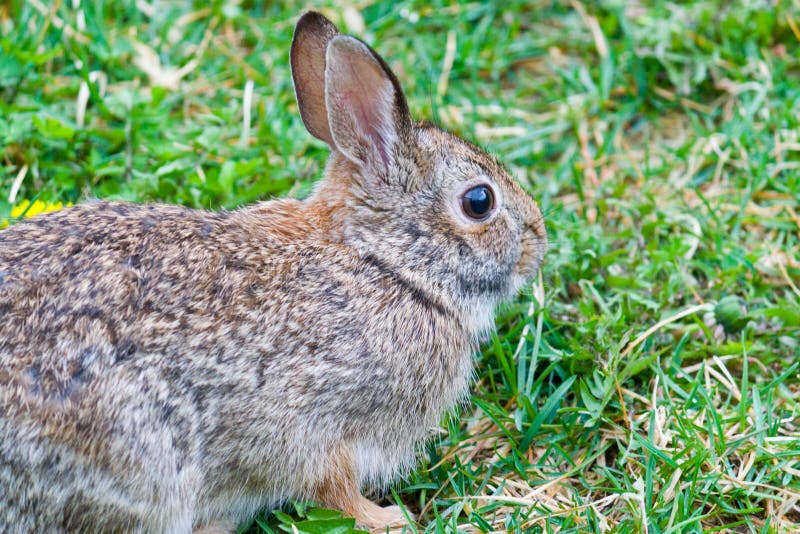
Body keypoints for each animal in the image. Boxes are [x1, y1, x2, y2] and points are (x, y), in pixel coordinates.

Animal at [0, 10, 547, 533]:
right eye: (479, 202)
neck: (385, 264)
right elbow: (333, 487)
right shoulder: (317, 423)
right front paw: (389, 520)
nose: (538, 244)